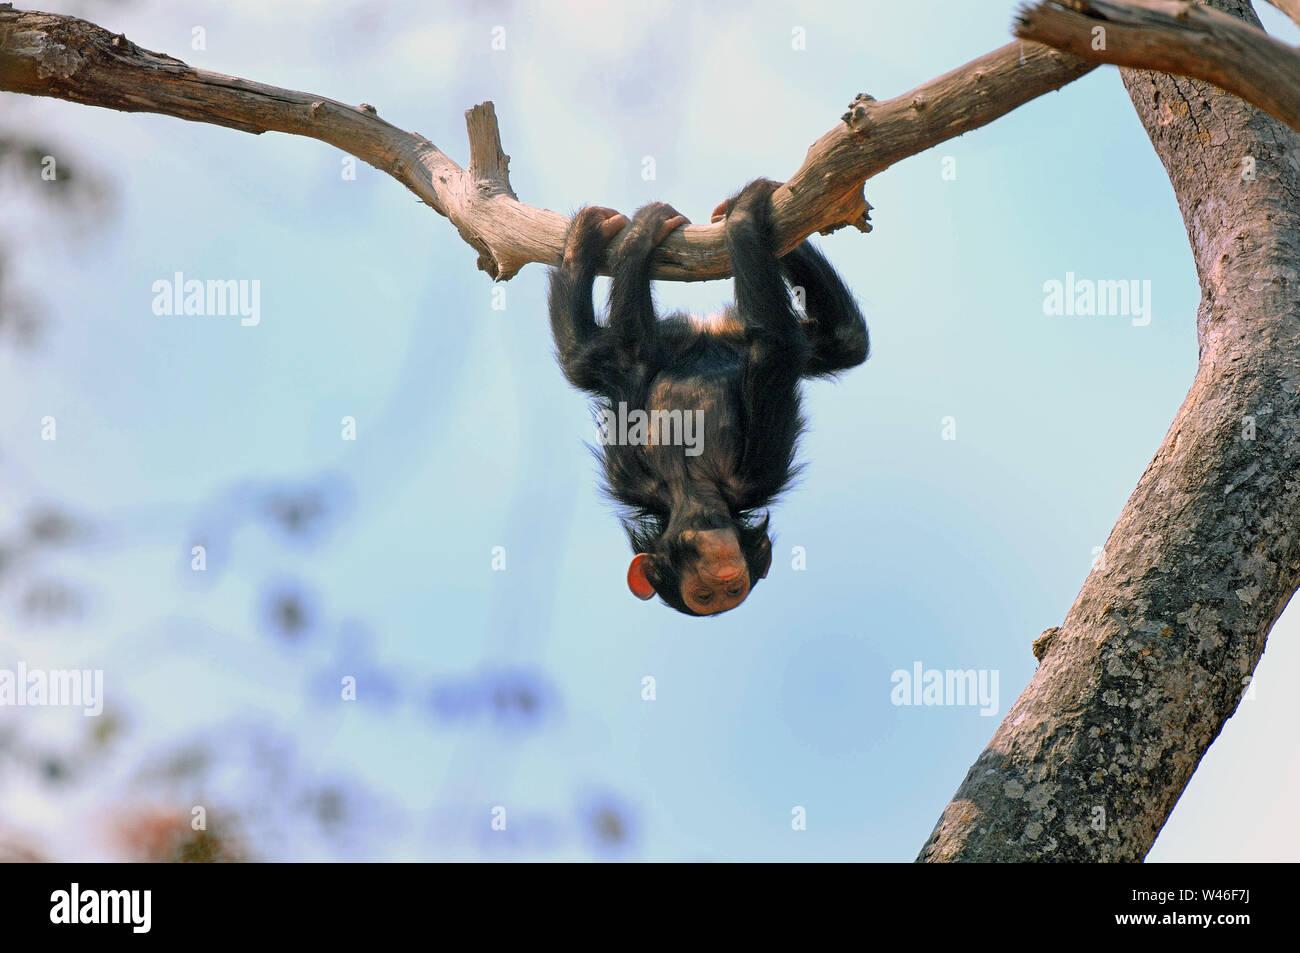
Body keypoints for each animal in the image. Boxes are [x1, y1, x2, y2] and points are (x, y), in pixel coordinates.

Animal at [548, 178, 868, 615]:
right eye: (705, 597)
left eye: (731, 592)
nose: (725, 581)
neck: (693, 490)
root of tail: (708, 334)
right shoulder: (634, 477)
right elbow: (775, 346)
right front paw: (638, 242)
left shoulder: (752, 476)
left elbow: (774, 348)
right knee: (588, 357)